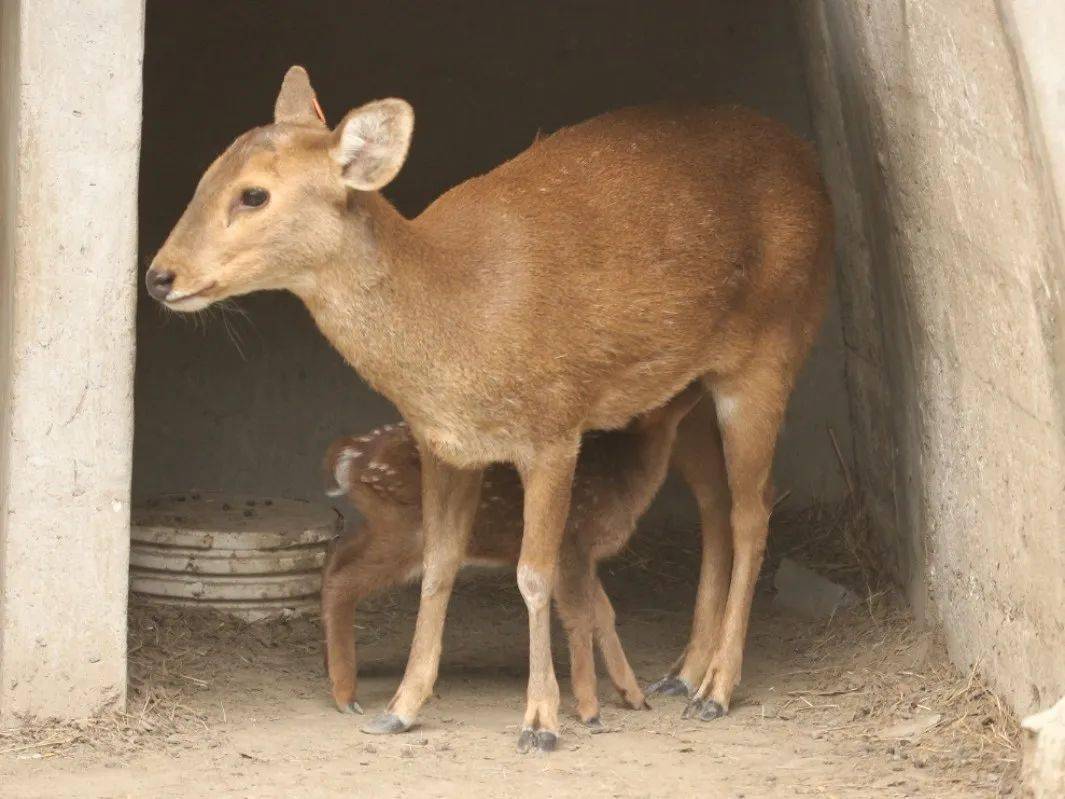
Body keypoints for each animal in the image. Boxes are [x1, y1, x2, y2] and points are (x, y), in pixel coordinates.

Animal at [321, 384, 707, 727]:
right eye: (666, 395)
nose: (698, 387)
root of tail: (348, 457)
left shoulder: (584, 556)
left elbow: (605, 613)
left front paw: (634, 695)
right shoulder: (573, 542)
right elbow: (580, 615)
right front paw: (589, 710)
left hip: (384, 525)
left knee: (336, 556)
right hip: (404, 529)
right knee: (341, 578)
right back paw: (346, 696)